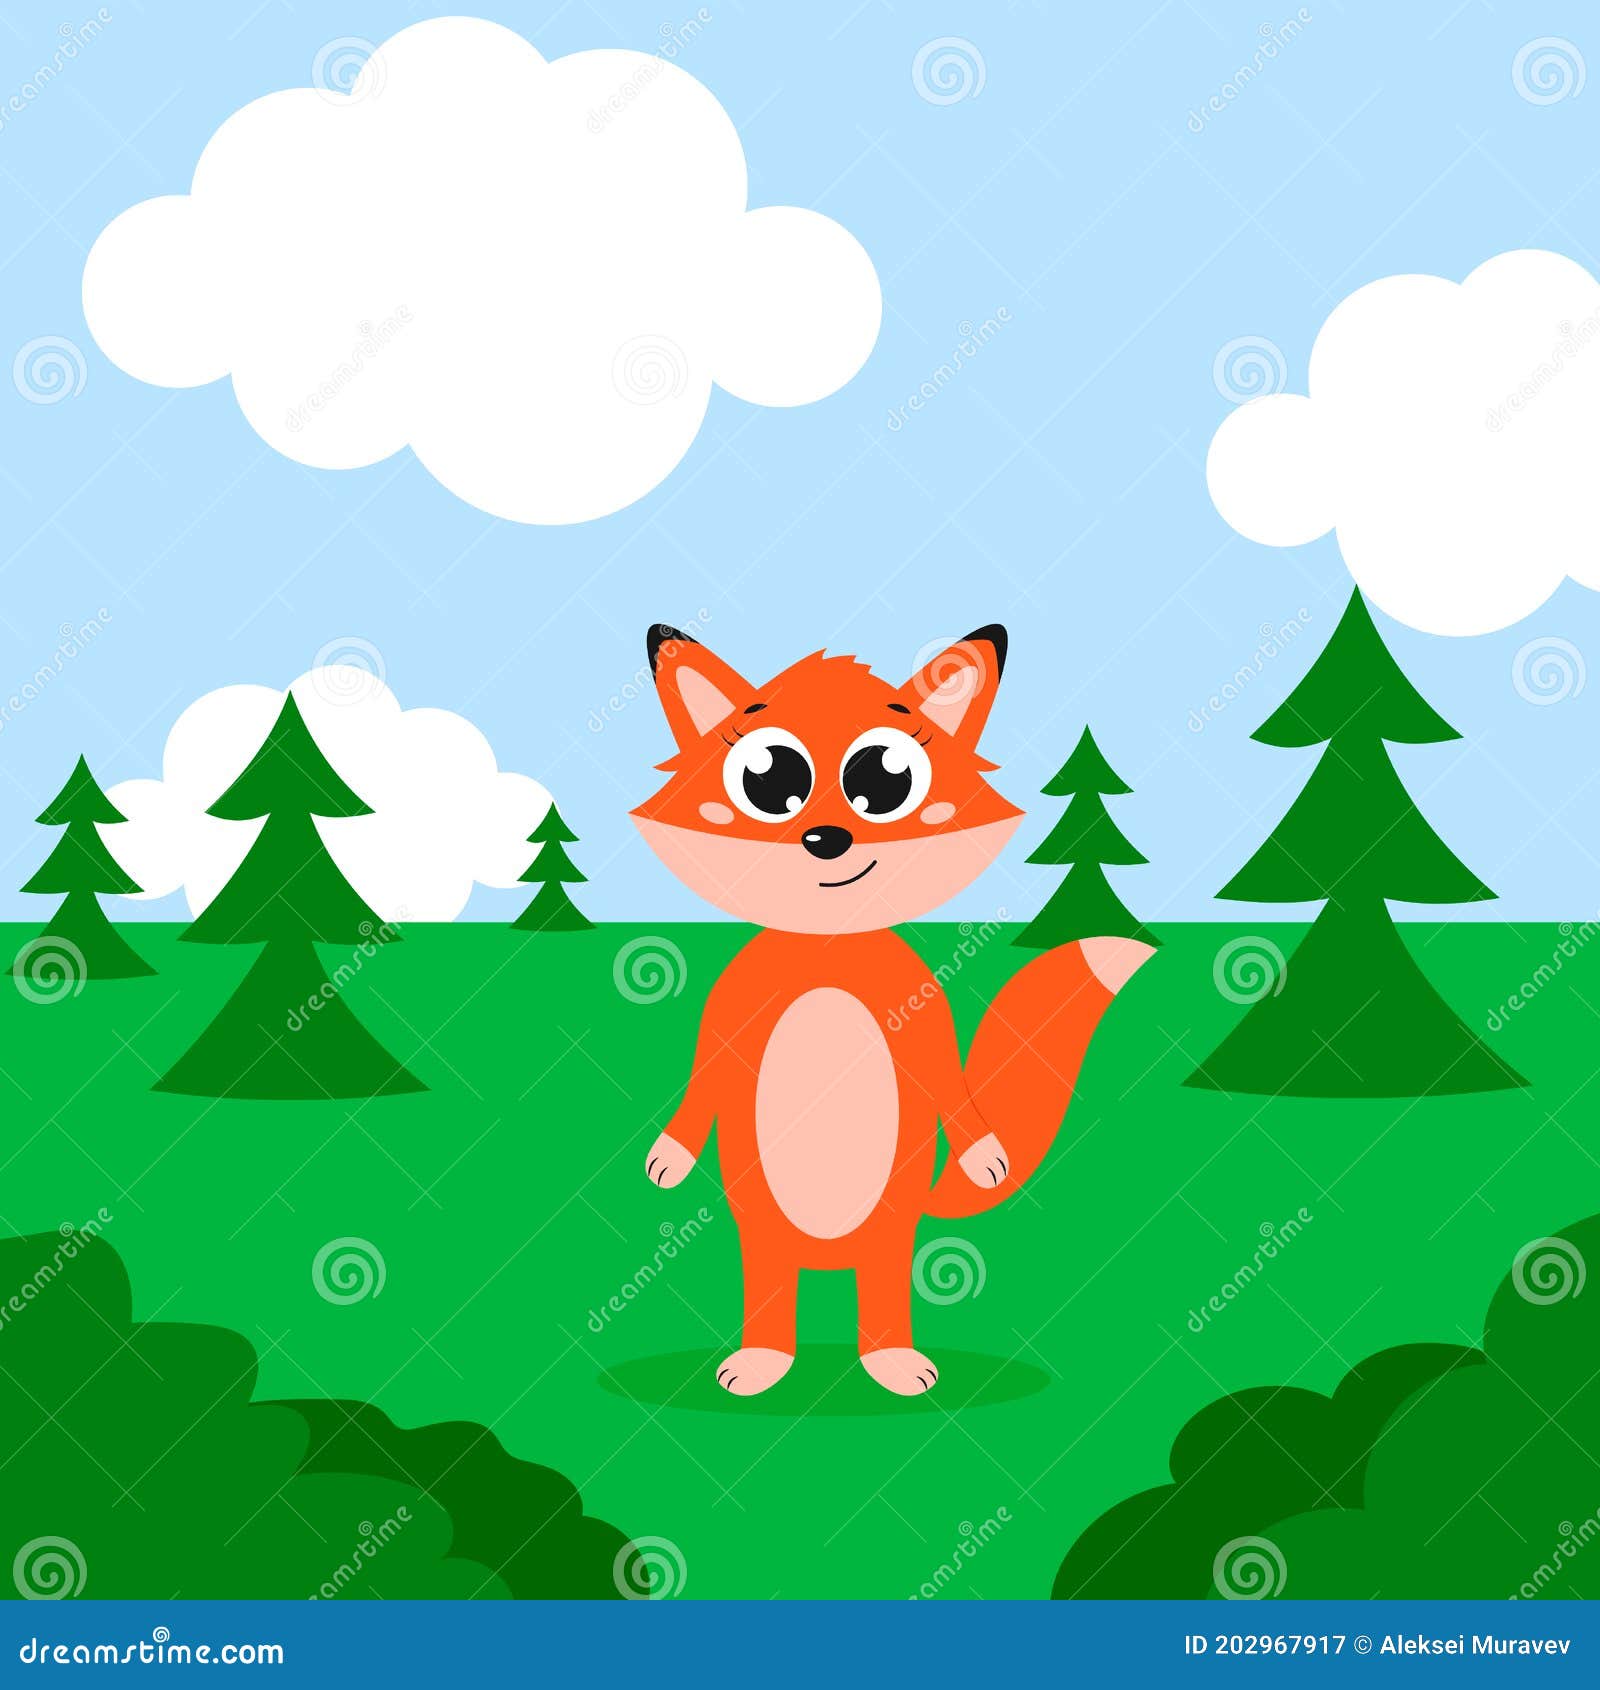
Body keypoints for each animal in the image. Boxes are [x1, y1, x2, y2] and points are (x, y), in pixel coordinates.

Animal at [632, 624, 1153, 1397]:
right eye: (767, 781)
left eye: (884, 780)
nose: (826, 840)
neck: (826, 951)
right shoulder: (733, 1005)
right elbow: (705, 1077)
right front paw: (667, 1155)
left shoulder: (916, 1003)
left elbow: (946, 1077)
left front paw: (985, 1152)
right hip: (759, 1221)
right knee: (770, 1279)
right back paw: (763, 1362)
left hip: (890, 1222)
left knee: (881, 1282)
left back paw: (893, 1362)